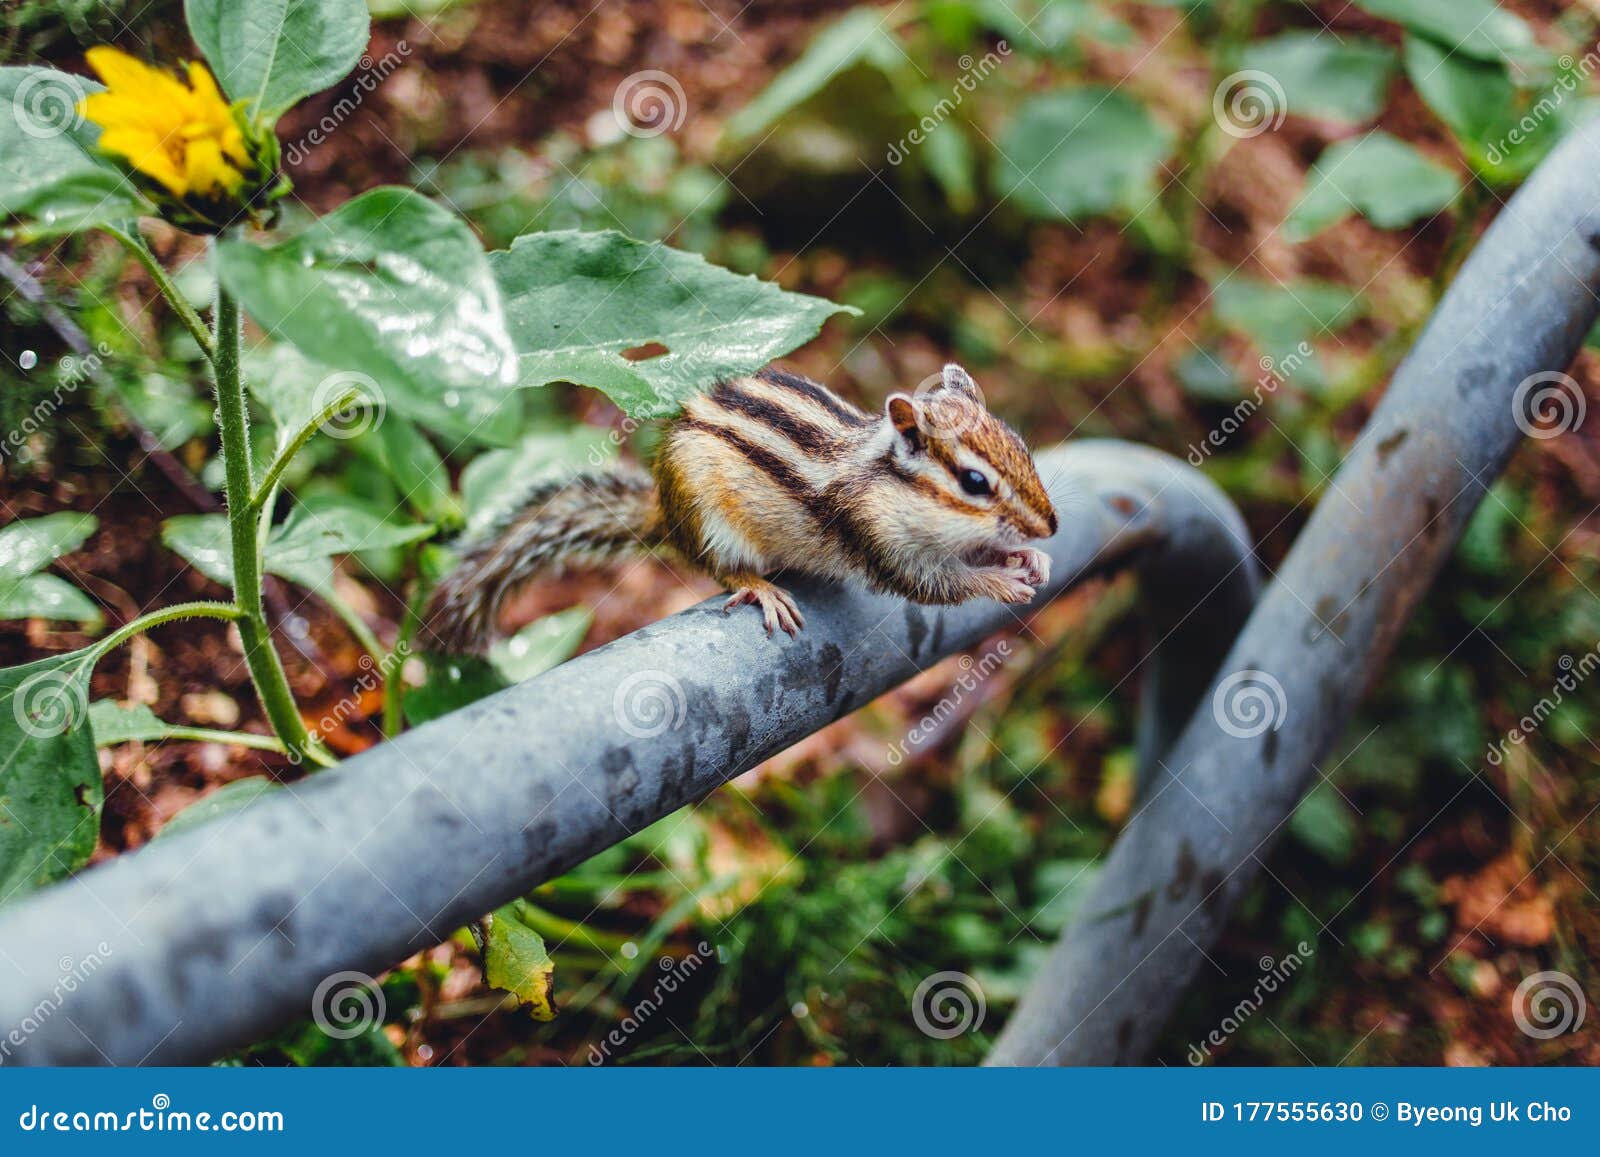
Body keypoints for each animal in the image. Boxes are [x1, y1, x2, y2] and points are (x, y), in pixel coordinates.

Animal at [424, 363, 1059, 649]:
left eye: (1023, 448)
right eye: (974, 481)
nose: (1050, 526)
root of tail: (665, 511)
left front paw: (1030, 561)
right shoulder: (876, 538)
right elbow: (932, 585)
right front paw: (999, 581)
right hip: (709, 519)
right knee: (719, 568)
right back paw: (760, 588)